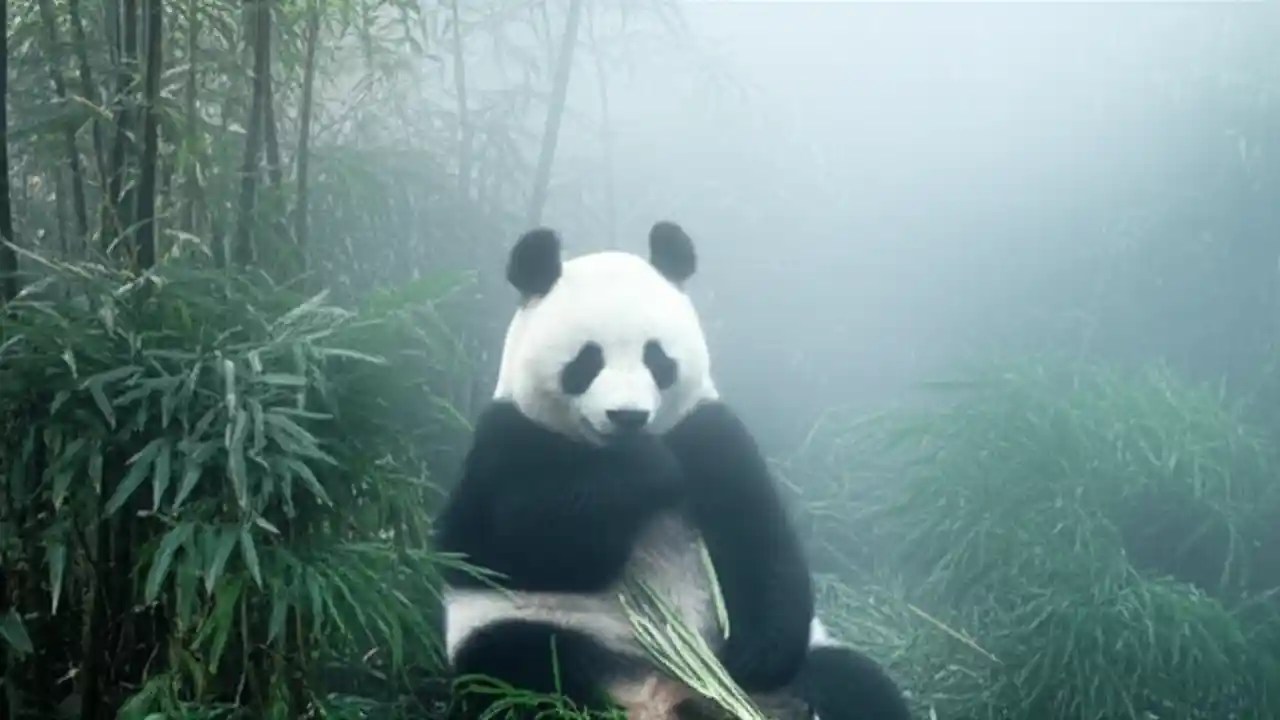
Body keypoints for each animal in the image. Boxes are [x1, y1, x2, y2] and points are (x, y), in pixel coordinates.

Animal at [433, 221, 911, 720]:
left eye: (656, 358)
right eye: (587, 361)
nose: (627, 416)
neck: (609, 450)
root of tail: (668, 696)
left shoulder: (708, 431)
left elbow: (758, 538)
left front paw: (754, 658)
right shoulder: (507, 442)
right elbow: (509, 542)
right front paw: (650, 469)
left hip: (815, 665)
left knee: (856, 681)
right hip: (530, 628)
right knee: (522, 671)